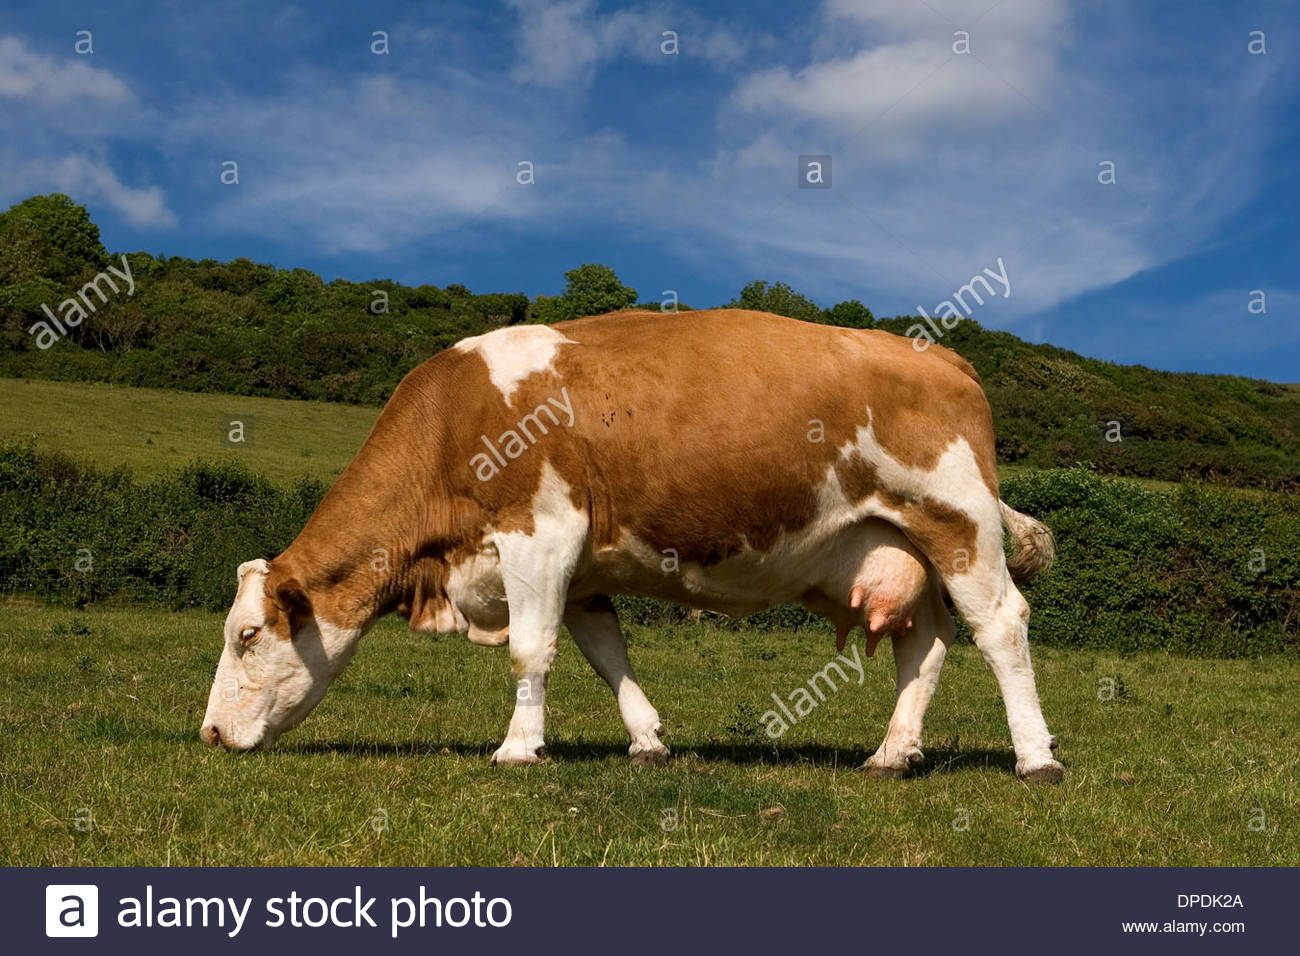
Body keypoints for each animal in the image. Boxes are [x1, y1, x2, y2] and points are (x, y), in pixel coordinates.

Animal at [201, 308, 1064, 782]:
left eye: (248, 636)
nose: (208, 733)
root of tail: (940, 353)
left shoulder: (539, 534)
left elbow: (532, 651)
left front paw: (519, 749)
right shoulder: (581, 569)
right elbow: (604, 651)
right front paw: (647, 740)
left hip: (957, 523)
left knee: (1000, 626)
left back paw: (1036, 758)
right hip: (900, 546)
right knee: (925, 645)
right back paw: (893, 753)